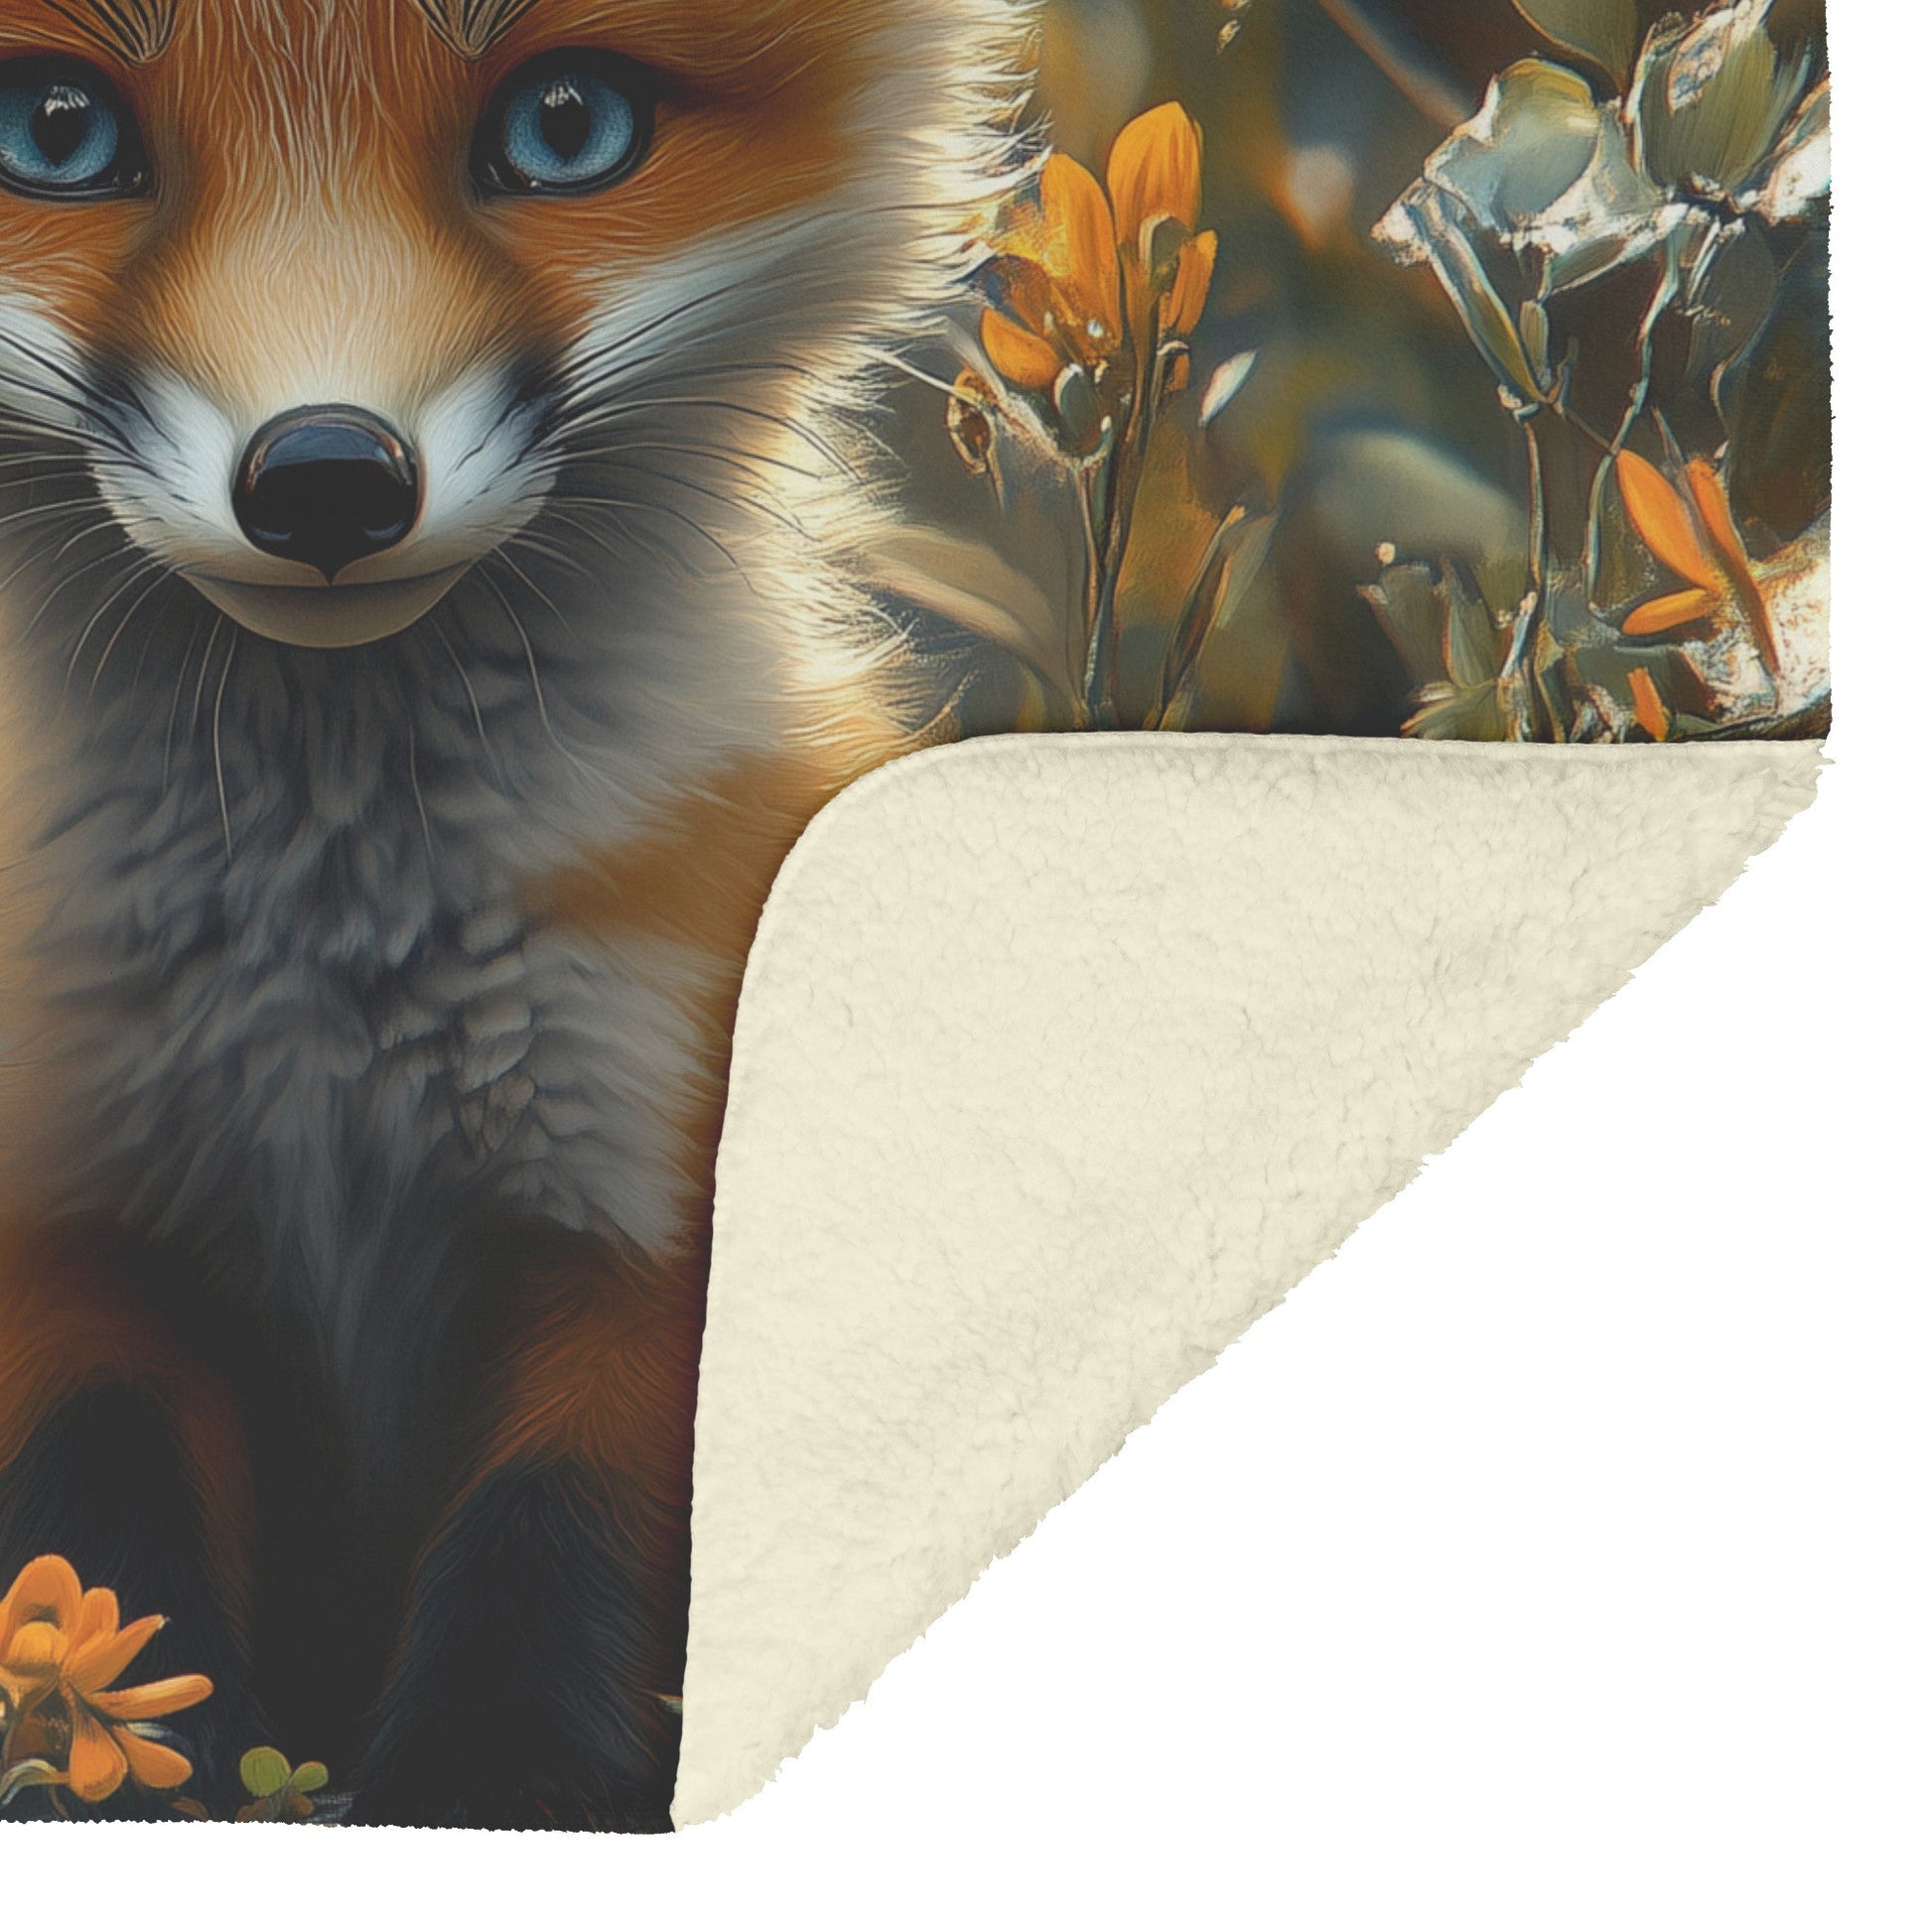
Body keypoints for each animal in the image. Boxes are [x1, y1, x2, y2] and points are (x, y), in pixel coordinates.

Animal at [0, 0, 1023, 1828]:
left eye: (564, 128)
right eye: (53, 132)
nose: (326, 477)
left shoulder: (644, 1207)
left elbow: (549, 1584)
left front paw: (486, 1776)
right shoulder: (65, 1222)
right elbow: (101, 1587)